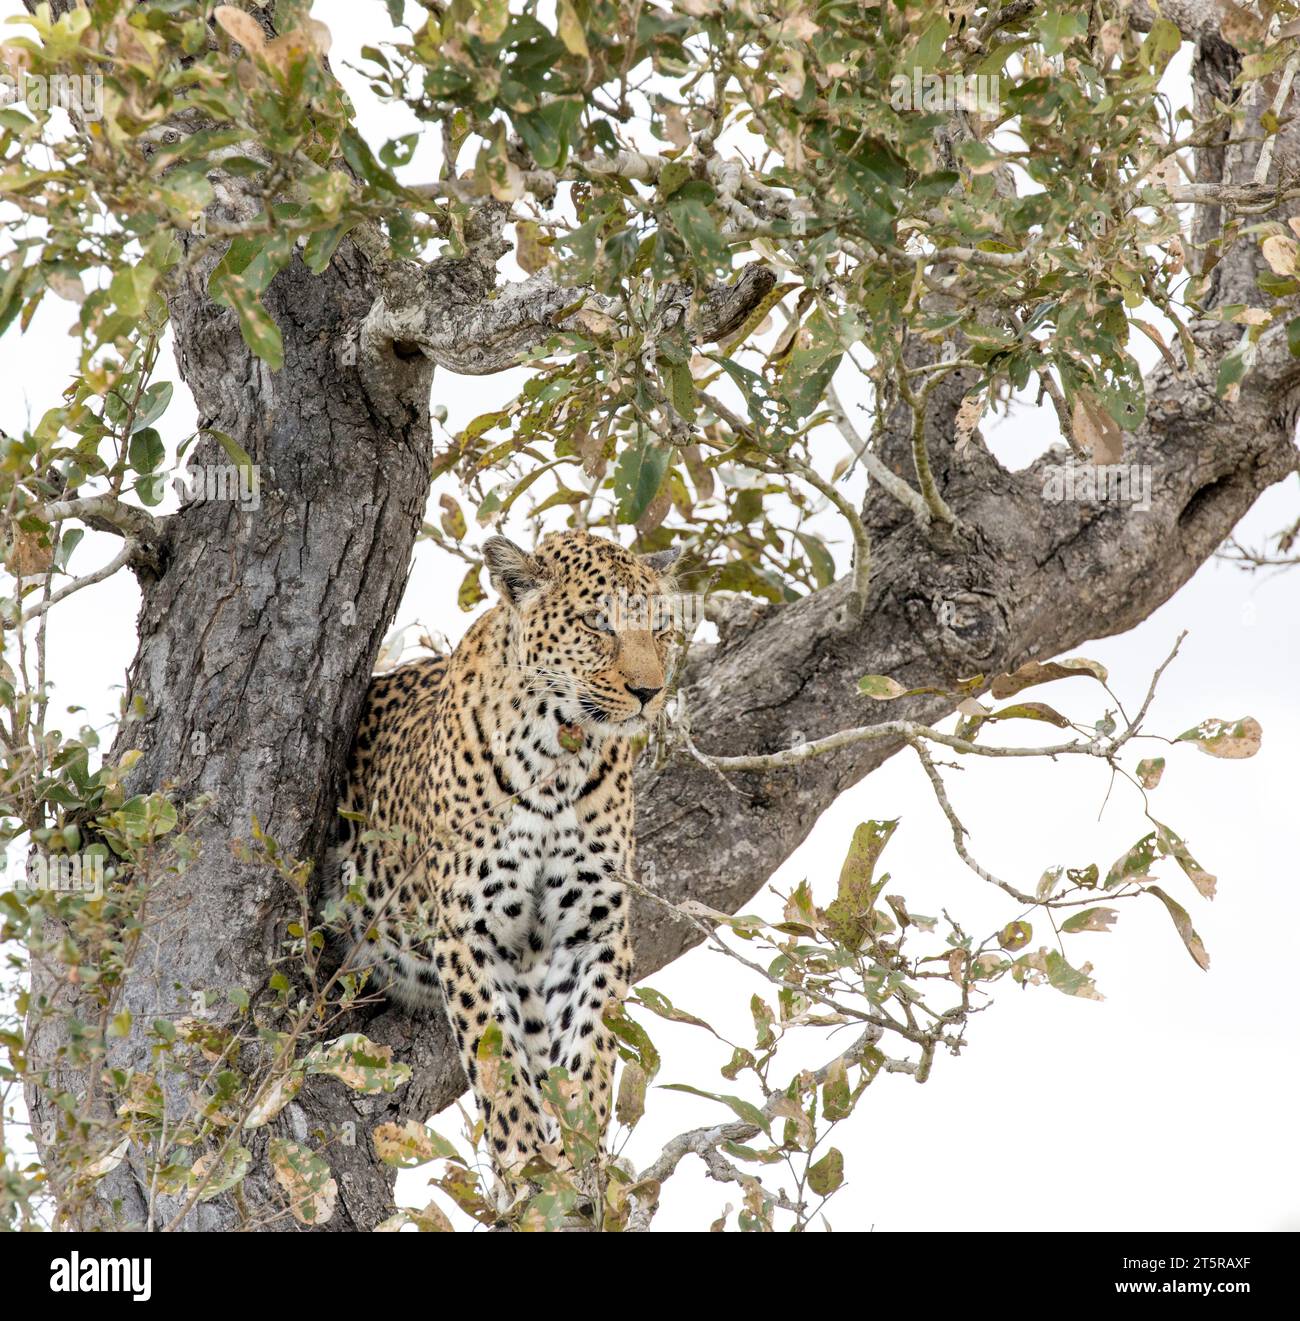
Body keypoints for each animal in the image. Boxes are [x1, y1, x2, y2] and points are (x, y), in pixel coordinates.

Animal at [329, 530, 680, 1185]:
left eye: (663, 628)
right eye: (598, 622)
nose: (650, 693)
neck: (558, 760)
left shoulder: (593, 930)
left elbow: (590, 1050)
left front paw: (578, 1161)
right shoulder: (471, 929)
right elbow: (498, 1065)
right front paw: (525, 1167)